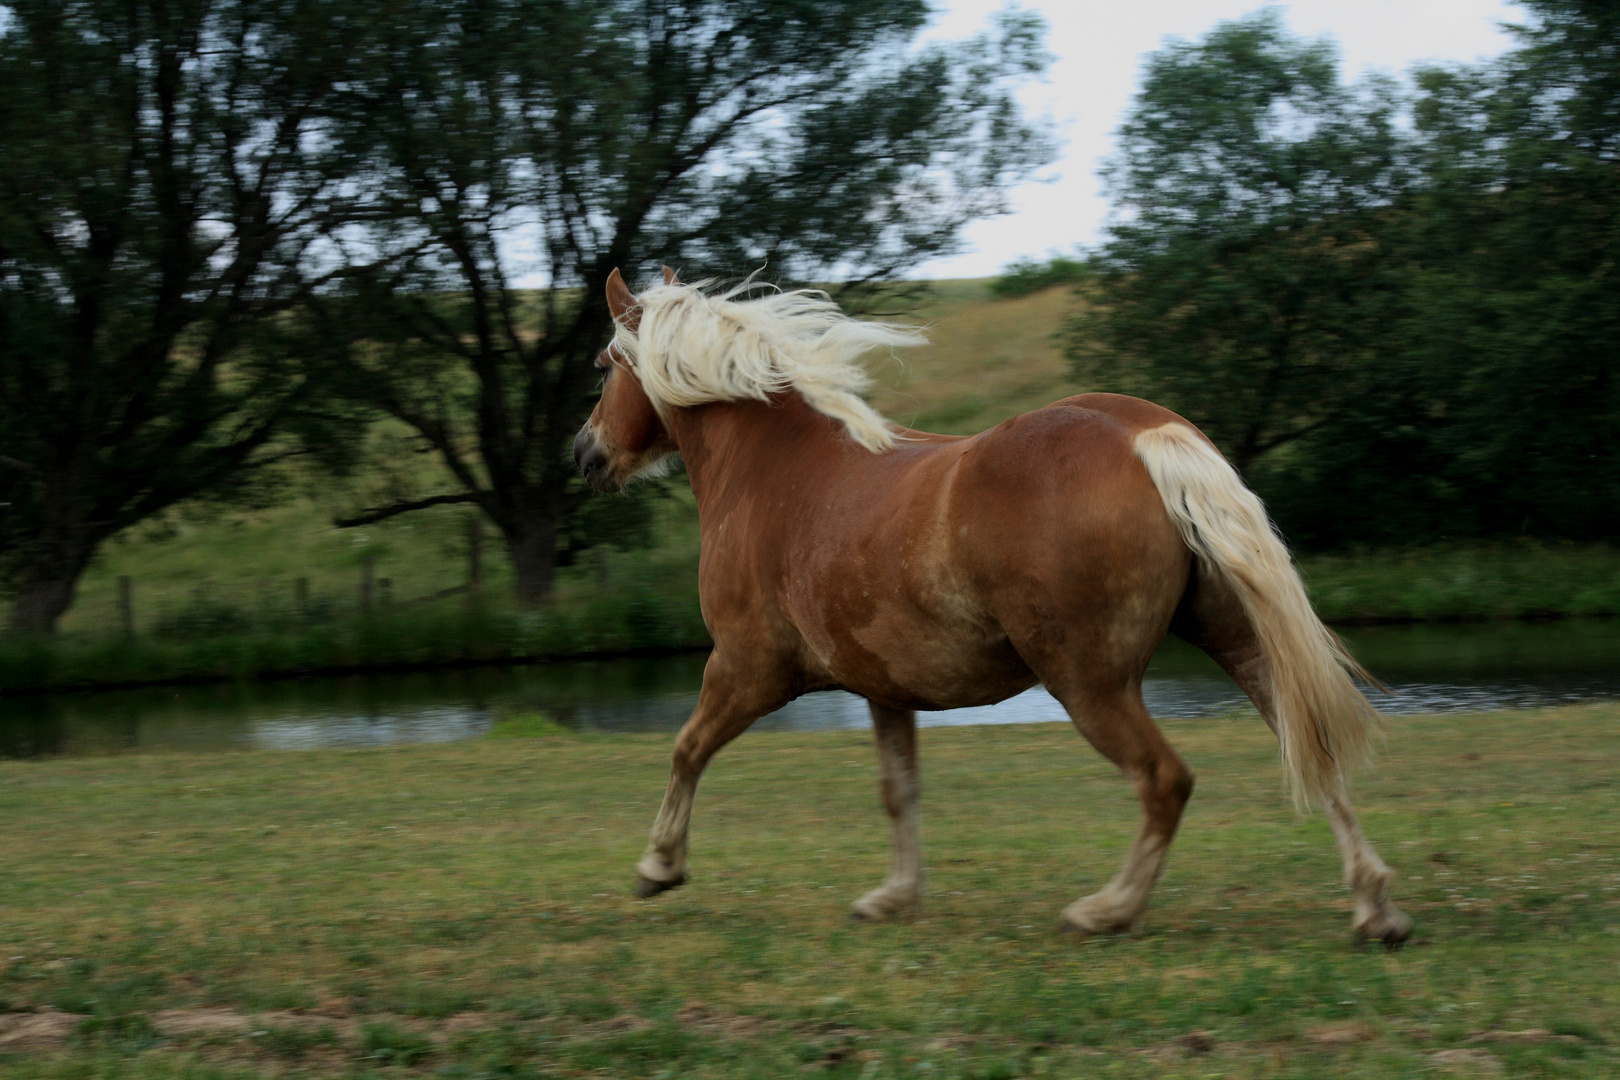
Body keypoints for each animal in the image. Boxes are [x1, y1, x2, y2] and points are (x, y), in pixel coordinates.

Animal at [572, 267, 1411, 944]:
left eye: (605, 364)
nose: (585, 455)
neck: (773, 472)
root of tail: (1147, 436)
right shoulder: (883, 689)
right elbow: (898, 789)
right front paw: (895, 898)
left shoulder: (746, 669)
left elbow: (687, 749)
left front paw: (659, 866)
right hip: (1236, 640)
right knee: (1312, 749)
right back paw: (1374, 908)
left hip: (1089, 681)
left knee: (1164, 781)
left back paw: (1104, 911)